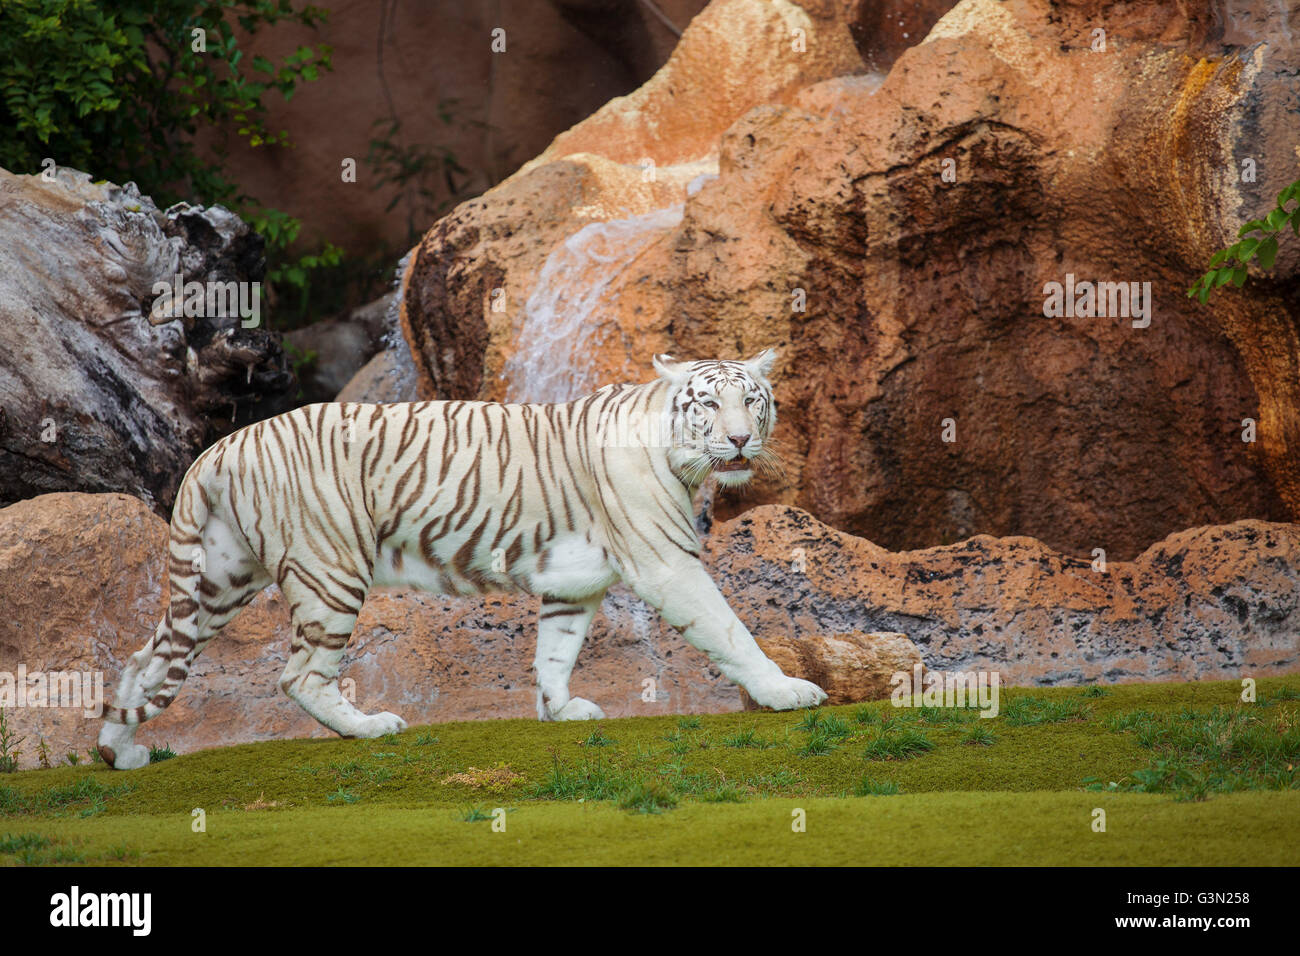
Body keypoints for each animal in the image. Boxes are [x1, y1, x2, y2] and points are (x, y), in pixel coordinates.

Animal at [97, 349, 827, 769]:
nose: (740, 439)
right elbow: (729, 630)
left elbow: (556, 650)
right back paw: (371, 729)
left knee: (143, 658)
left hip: (221, 578)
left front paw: (561, 711)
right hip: (330, 570)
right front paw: (786, 691)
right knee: (299, 675)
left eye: (751, 400)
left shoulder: (573, 583)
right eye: (708, 404)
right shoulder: (667, 563)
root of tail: (220, 447)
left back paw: (118, 752)